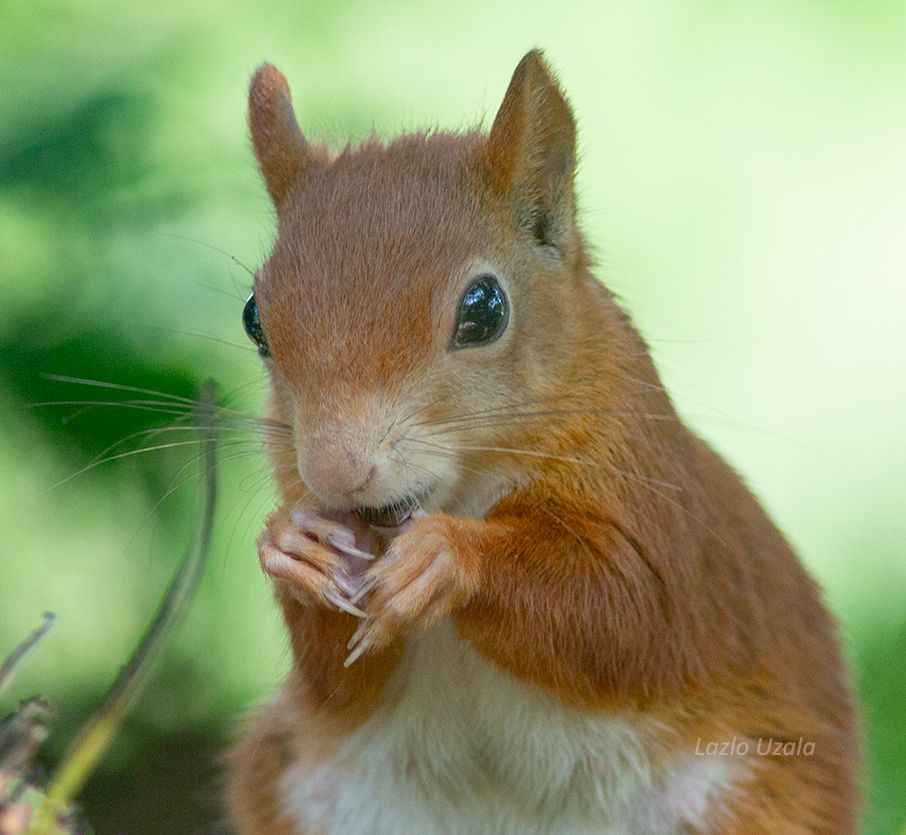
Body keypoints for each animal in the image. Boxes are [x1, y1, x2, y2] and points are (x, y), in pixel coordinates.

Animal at [226, 51, 859, 834]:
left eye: (485, 308)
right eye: (254, 317)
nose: (336, 472)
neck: (465, 489)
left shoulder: (659, 513)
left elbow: (629, 614)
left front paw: (450, 558)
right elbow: (339, 683)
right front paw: (293, 547)